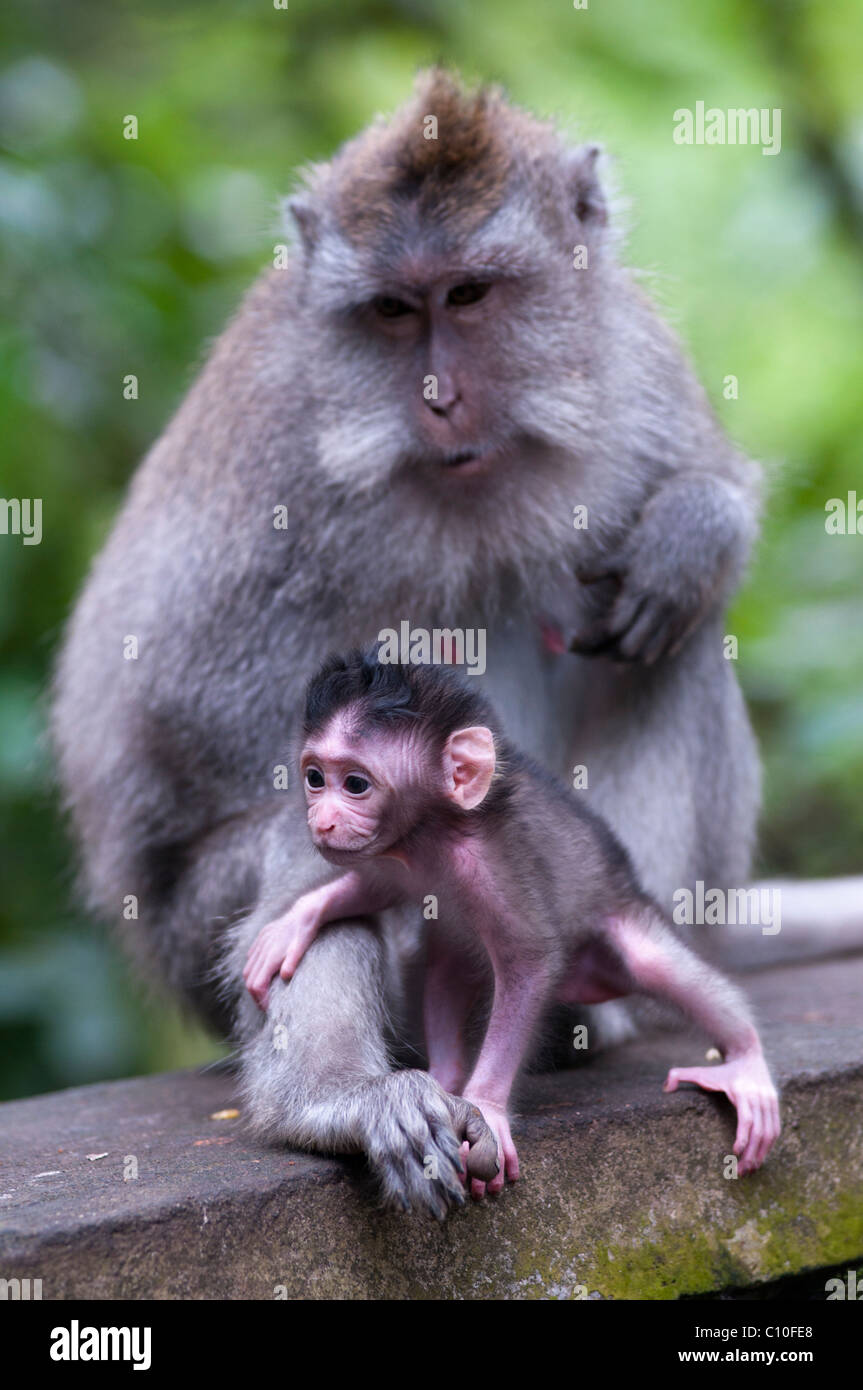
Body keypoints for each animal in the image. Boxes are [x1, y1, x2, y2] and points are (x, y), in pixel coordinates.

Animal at [242, 649, 780, 1194]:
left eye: (355, 784)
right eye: (314, 777)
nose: (322, 821)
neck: (434, 837)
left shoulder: (492, 867)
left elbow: (530, 963)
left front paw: (489, 1108)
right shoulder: (399, 857)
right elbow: (377, 888)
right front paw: (299, 919)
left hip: (618, 919)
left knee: (651, 963)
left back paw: (745, 1064)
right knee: (449, 964)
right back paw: (445, 1077)